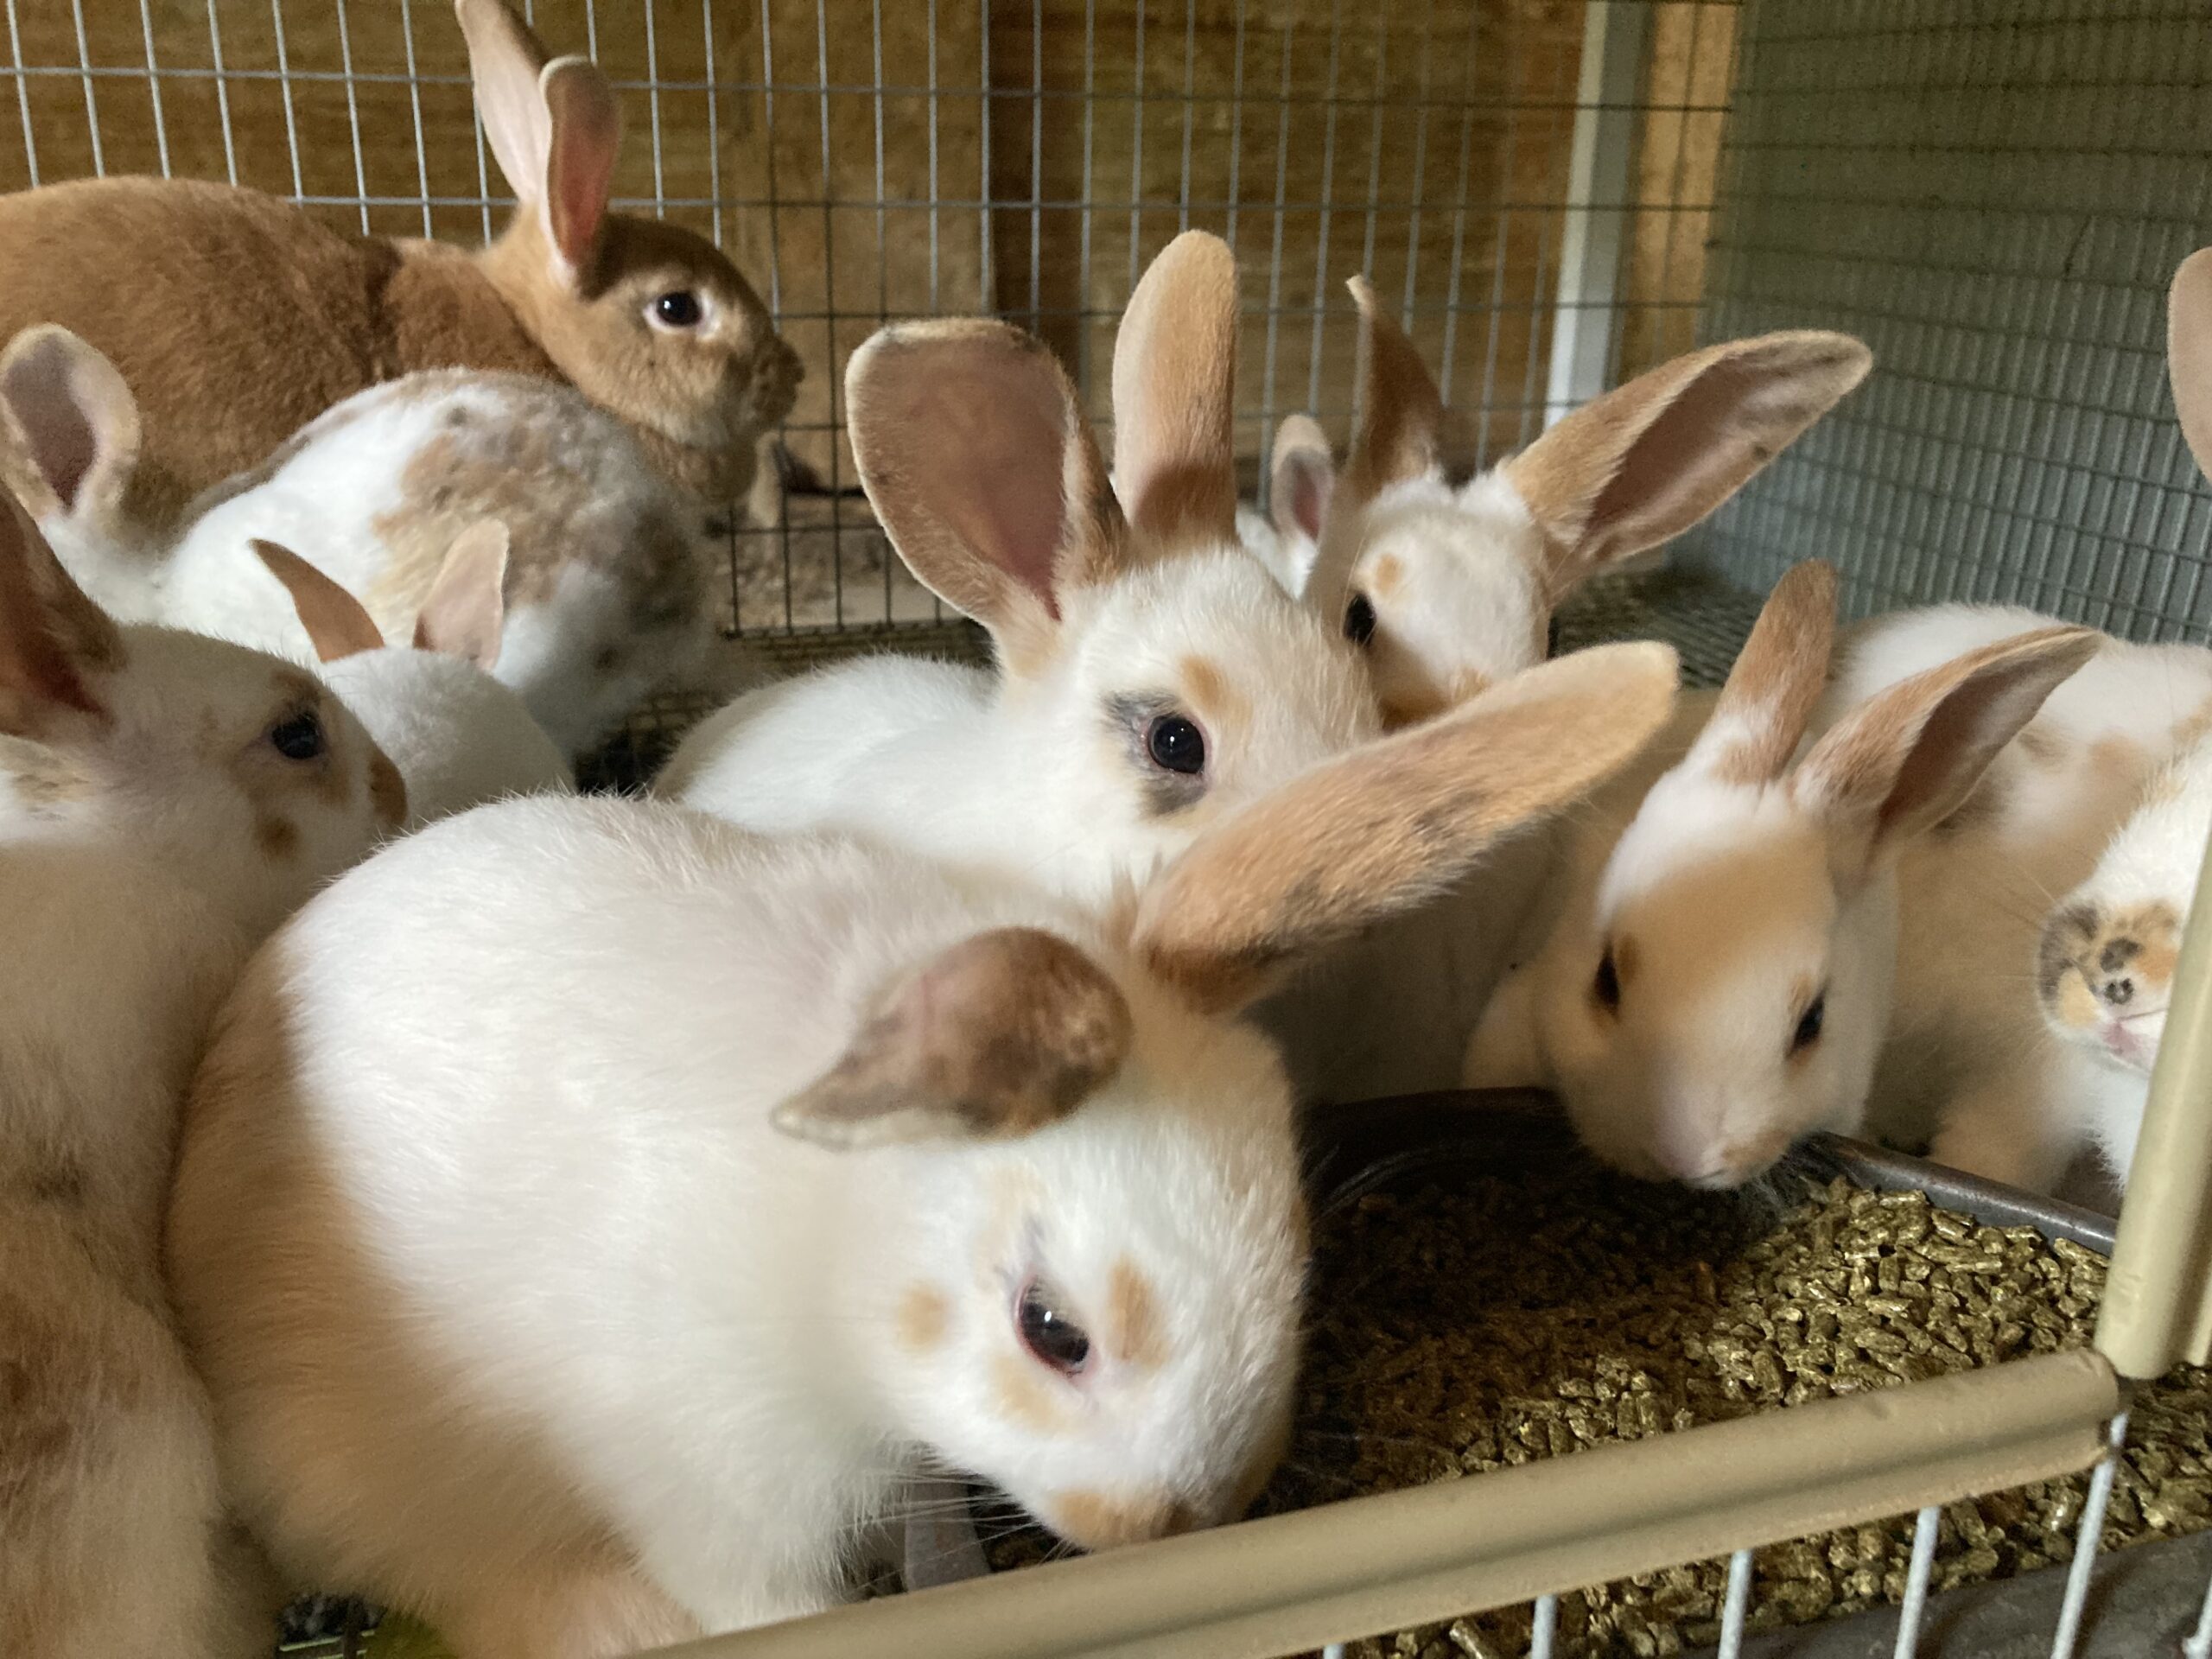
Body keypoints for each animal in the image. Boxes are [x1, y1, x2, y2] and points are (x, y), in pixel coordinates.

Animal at [165, 621, 1677, 1656]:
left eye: (1302, 1263)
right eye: (1053, 1332)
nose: (1181, 1520)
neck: (830, 1250)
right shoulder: (725, 1494)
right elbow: (759, 1597)